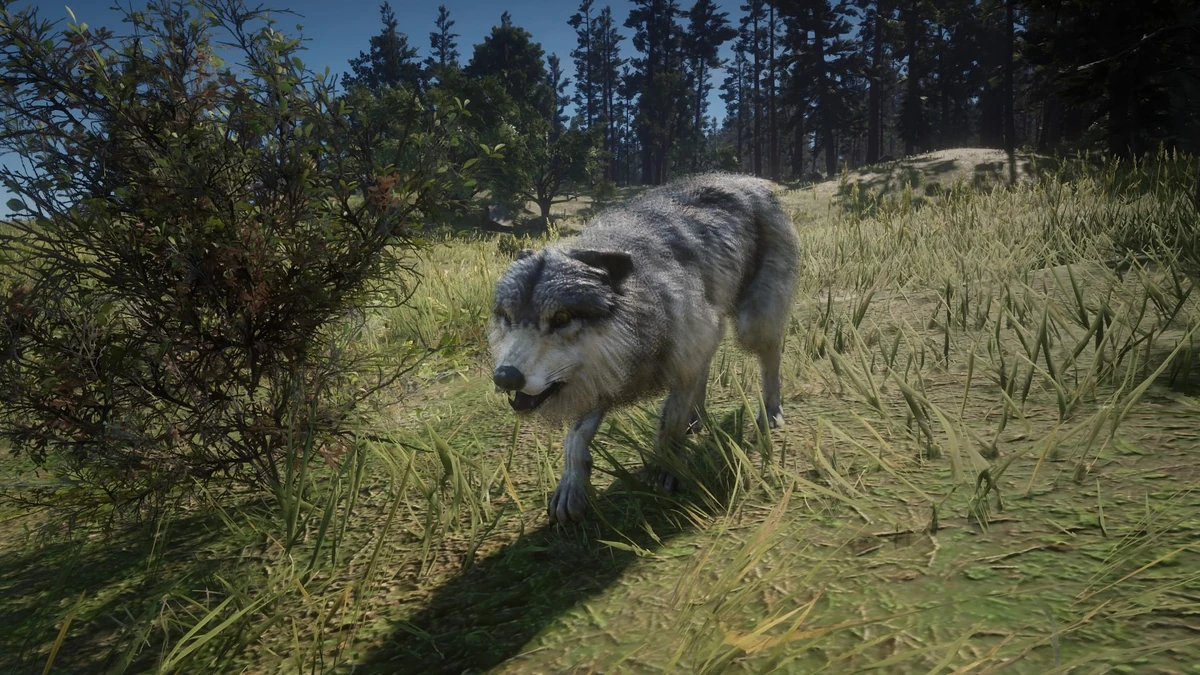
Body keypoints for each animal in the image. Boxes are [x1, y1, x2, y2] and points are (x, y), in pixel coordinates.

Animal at [488, 173, 801, 523]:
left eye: (562, 318)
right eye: (507, 317)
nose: (505, 377)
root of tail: (751, 179)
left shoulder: (678, 355)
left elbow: (670, 425)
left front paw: (671, 470)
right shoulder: (597, 378)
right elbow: (574, 437)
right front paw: (572, 486)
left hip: (752, 324)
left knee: (769, 358)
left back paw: (770, 411)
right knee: (705, 365)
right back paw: (697, 416)